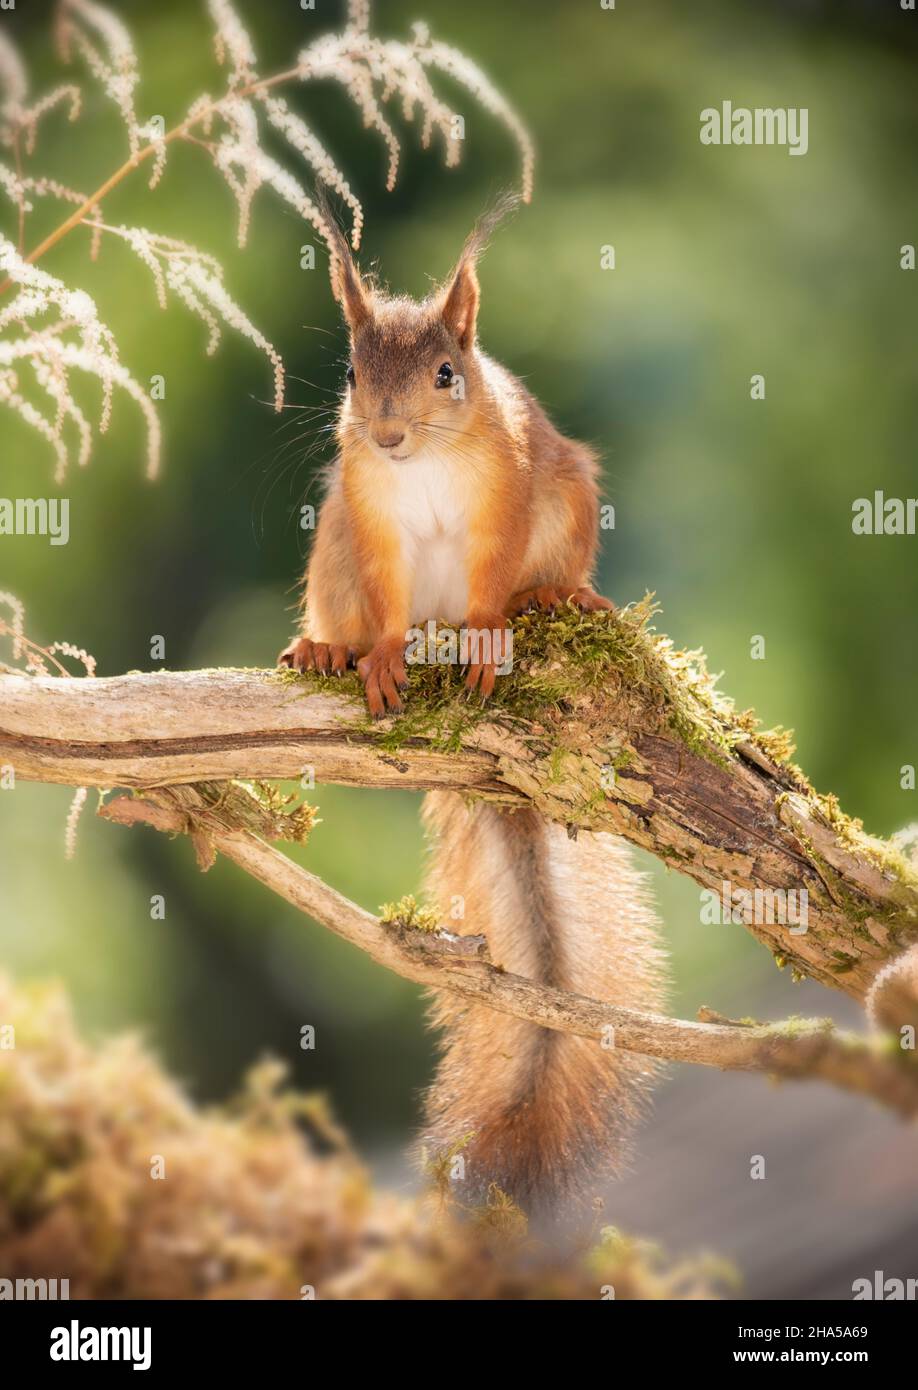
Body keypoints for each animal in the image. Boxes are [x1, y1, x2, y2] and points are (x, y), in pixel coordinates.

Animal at [279, 198, 667, 1216]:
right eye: (351, 373)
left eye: (447, 375)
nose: (386, 435)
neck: (420, 468)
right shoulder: (368, 517)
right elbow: (385, 598)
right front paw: (376, 656)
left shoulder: (511, 487)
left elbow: (494, 565)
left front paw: (493, 628)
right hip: (332, 544)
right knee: (348, 602)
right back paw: (326, 645)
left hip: (569, 498)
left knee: (544, 572)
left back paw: (552, 600)